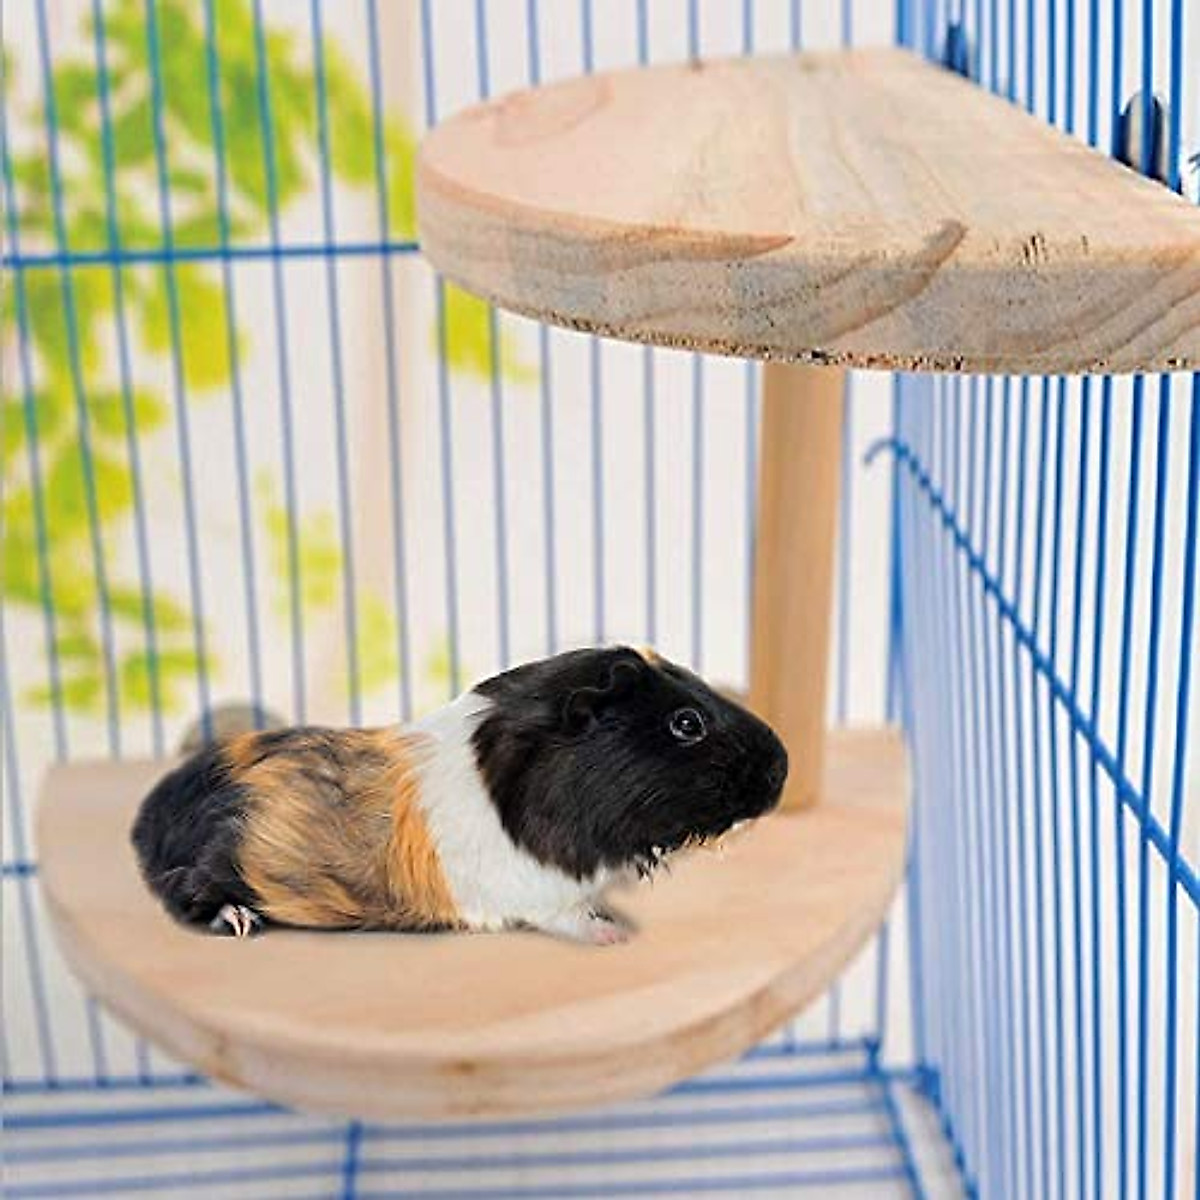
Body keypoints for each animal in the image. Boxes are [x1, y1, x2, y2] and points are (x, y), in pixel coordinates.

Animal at [131, 645, 788, 945]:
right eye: (686, 723)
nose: (781, 767)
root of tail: (157, 815)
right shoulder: (537, 894)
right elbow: (570, 916)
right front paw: (614, 934)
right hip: (214, 870)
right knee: (188, 897)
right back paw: (240, 921)